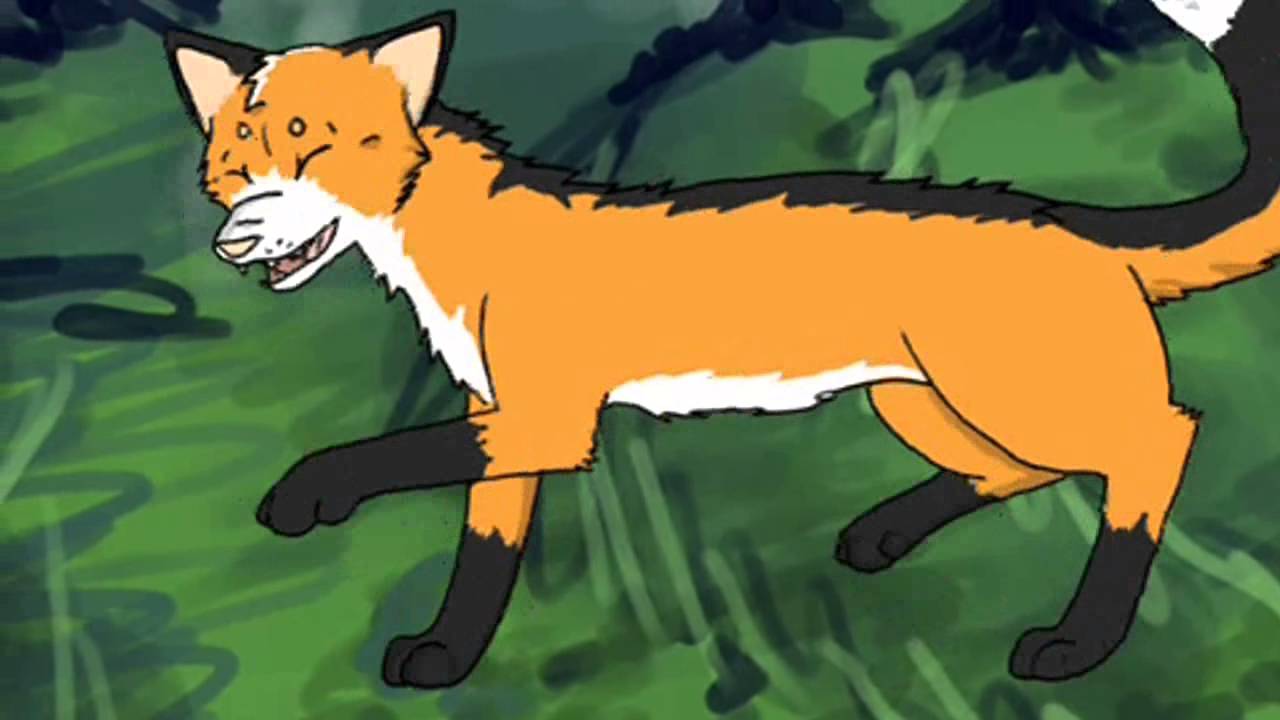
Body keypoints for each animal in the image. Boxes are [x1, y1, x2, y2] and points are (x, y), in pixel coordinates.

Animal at [162, 0, 1279, 692]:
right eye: (235, 156)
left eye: (311, 144)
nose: (230, 242)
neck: (453, 246)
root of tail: (1069, 220)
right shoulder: (506, 425)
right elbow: (483, 558)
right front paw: (445, 659)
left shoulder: (546, 422)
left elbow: (373, 457)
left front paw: (305, 499)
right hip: (918, 400)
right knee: (1018, 470)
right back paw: (883, 535)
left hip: (1018, 396)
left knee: (1158, 441)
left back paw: (1078, 644)